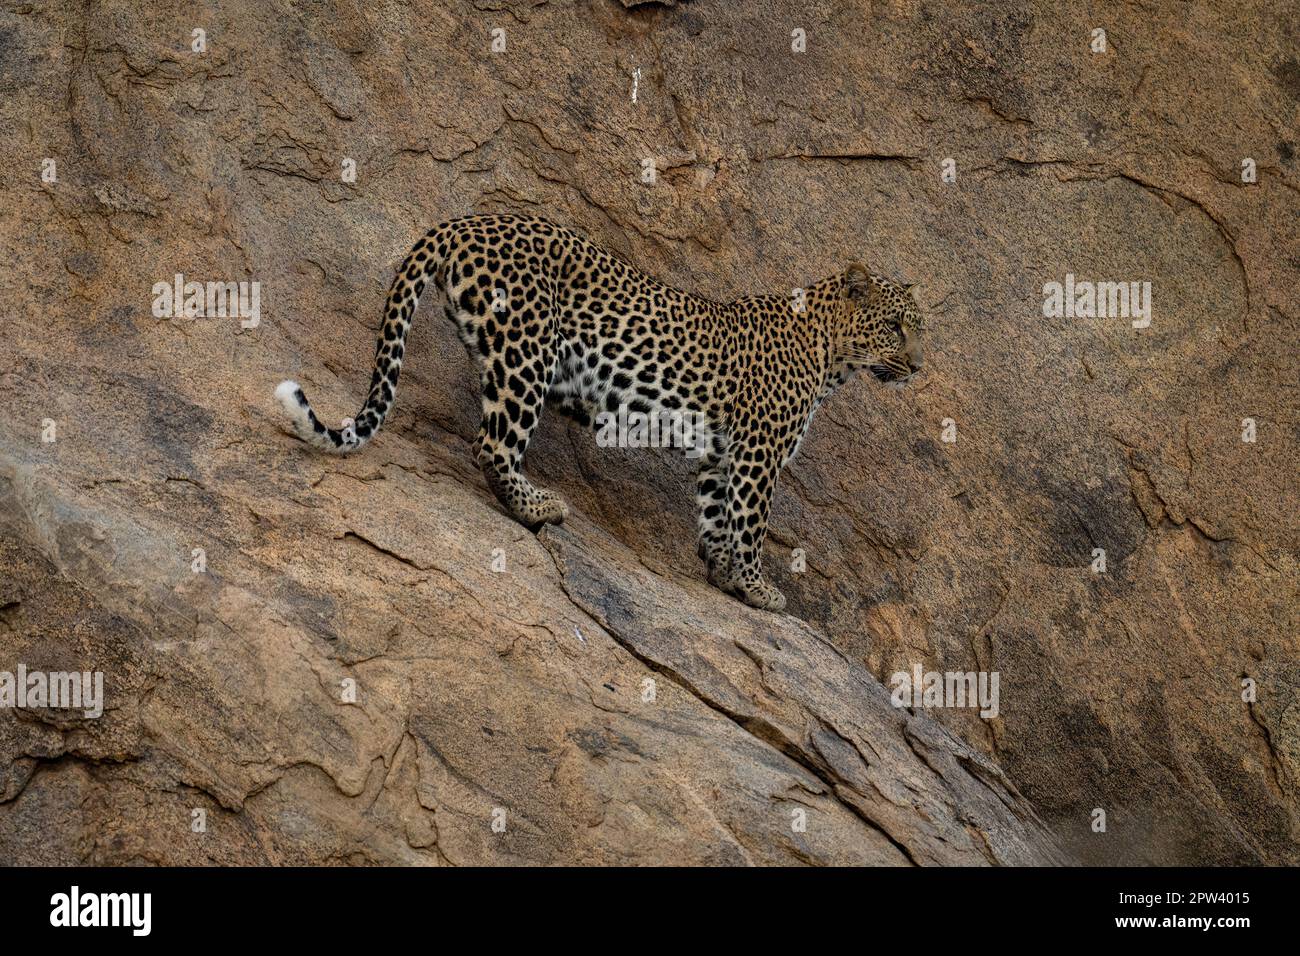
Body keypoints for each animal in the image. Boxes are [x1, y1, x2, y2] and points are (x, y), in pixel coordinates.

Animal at [275, 214, 925, 612]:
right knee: (493, 444)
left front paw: (723, 576)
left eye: (919, 329)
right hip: (527, 350)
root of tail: (464, 221)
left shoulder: (723, 453)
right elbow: (751, 523)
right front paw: (758, 587)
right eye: (897, 326)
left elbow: (717, 515)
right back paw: (538, 507)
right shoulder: (759, 455)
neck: (832, 357)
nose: (919, 366)